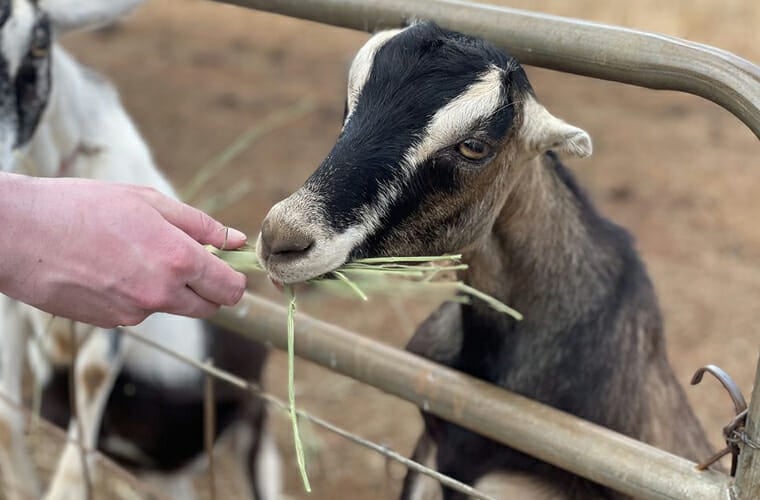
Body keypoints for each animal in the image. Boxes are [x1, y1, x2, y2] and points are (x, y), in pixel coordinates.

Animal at [0, 1, 280, 499]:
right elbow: (6, 419)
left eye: (37, 45)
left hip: (251, 427)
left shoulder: (109, 320)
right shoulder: (13, 307)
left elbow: (78, 445)